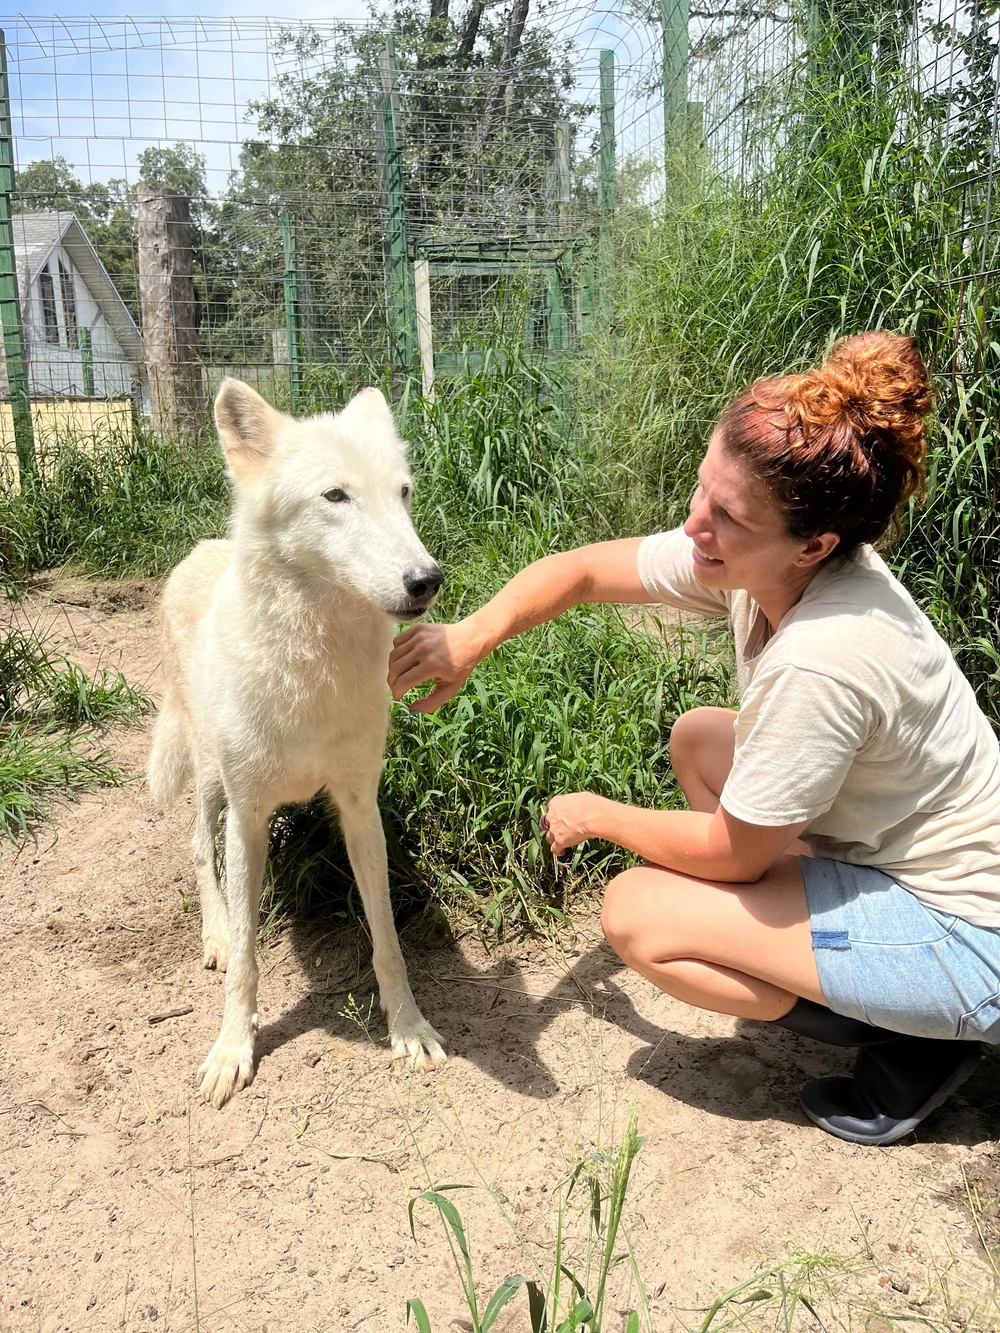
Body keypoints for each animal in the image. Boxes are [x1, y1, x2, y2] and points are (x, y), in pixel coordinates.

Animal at [147, 379, 447, 1108]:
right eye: (335, 496)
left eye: (403, 493)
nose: (427, 579)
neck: (312, 670)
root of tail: (200, 549)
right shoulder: (249, 815)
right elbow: (249, 961)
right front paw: (233, 1049)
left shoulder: (360, 808)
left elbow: (387, 939)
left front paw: (408, 1028)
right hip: (210, 779)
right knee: (199, 847)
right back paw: (216, 932)